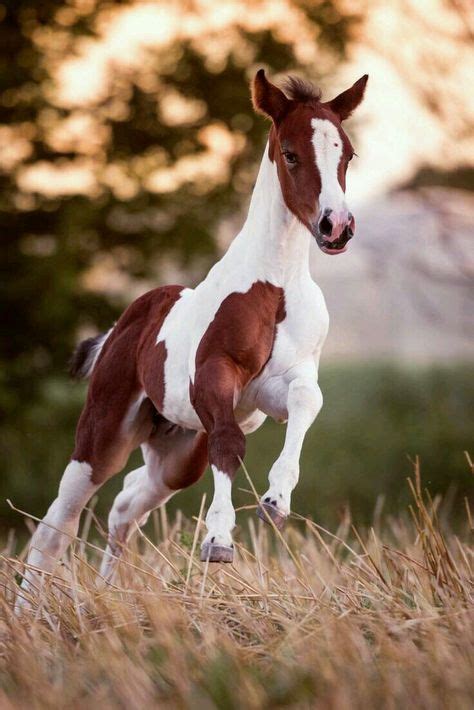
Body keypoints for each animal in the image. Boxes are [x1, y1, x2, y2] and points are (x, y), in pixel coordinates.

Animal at [18, 69, 368, 601]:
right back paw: (27, 608)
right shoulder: (215, 378)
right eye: (290, 153)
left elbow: (307, 402)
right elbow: (230, 442)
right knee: (58, 523)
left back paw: (109, 591)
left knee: (125, 504)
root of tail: (128, 321)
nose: (336, 227)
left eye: (346, 154)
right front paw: (219, 541)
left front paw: (276, 501)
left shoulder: (277, 388)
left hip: (177, 455)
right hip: (102, 438)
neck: (274, 287)